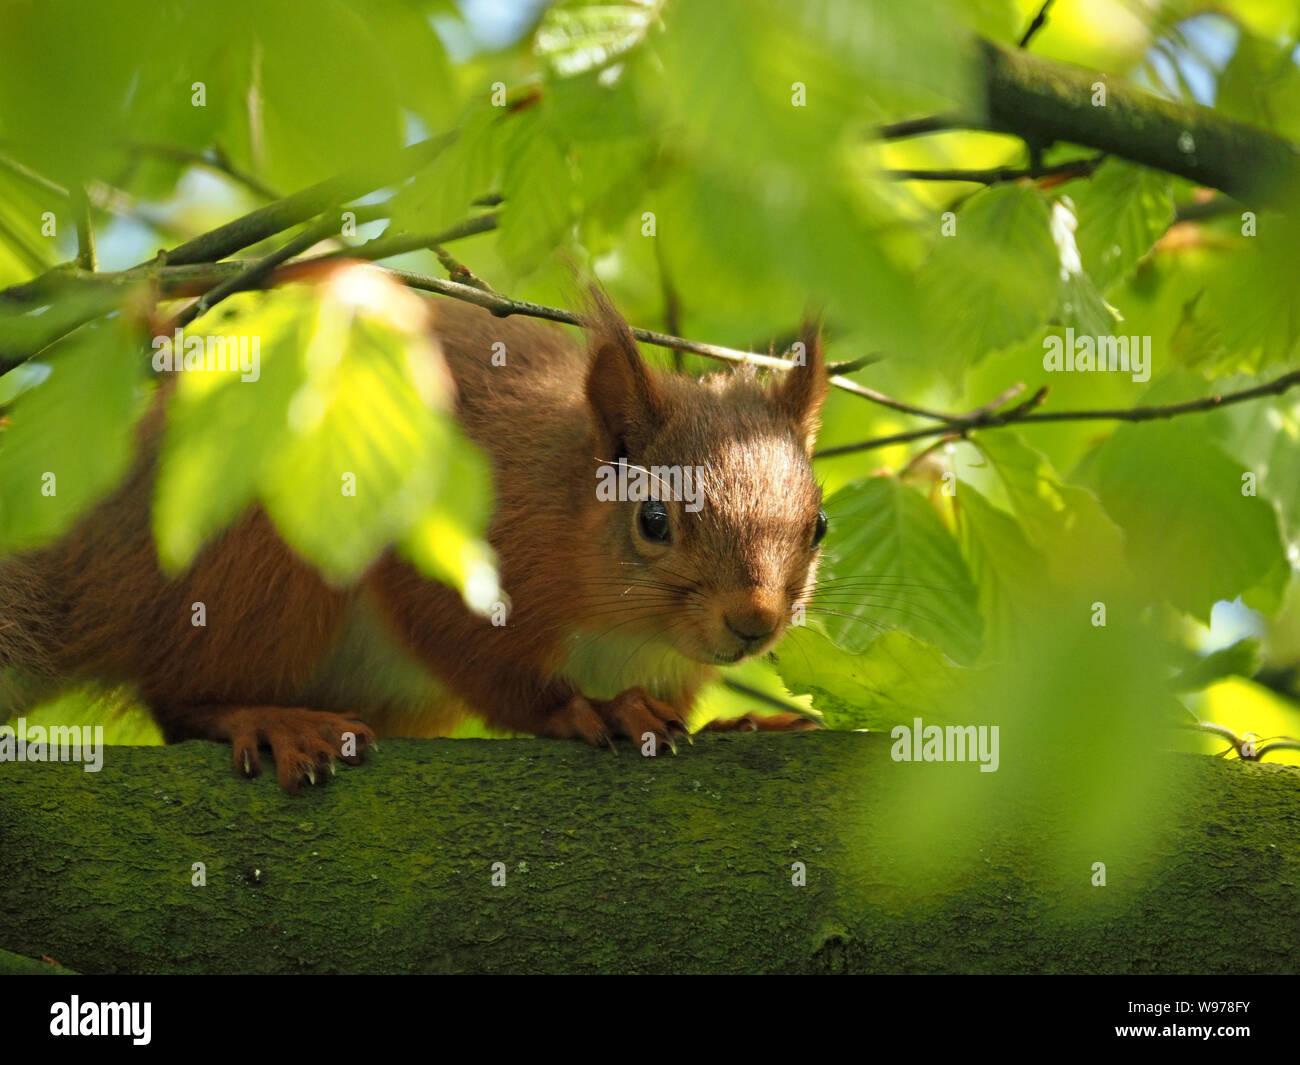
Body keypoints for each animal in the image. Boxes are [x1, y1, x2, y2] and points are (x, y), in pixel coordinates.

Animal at [0, 277, 828, 791]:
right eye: (653, 519)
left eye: (819, 523)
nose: (753, 621)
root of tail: (97, 567)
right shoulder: (462, 554)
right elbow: (477, 656)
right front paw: (586, 708)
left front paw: (741, 723)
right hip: (257, 560)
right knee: (174, 697)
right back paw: (262, 717)